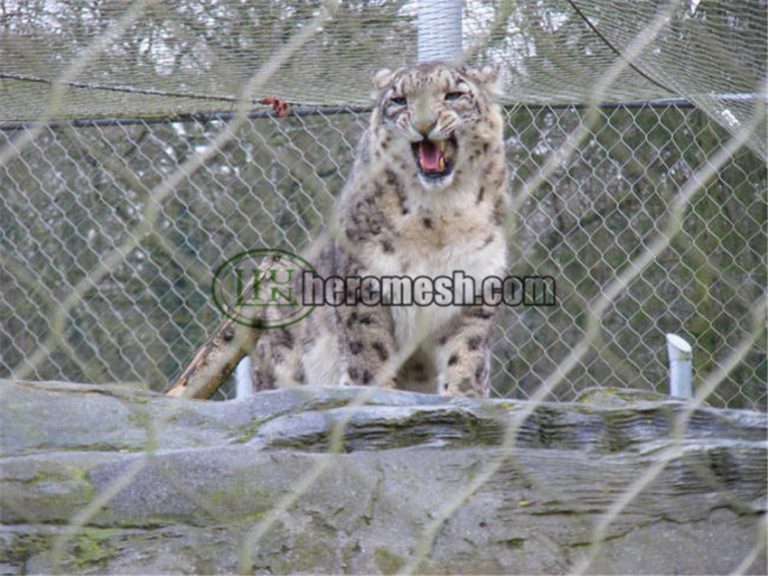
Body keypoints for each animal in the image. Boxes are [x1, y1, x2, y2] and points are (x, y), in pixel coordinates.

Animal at [241, 61, 509, 399]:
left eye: (454, 95)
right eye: (398, 100)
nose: (424, 124)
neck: (440, 215)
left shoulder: (477, 282)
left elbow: (467, 351)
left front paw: (464, 395)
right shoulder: (364, 279)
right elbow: (371, 347)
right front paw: (374, 392)